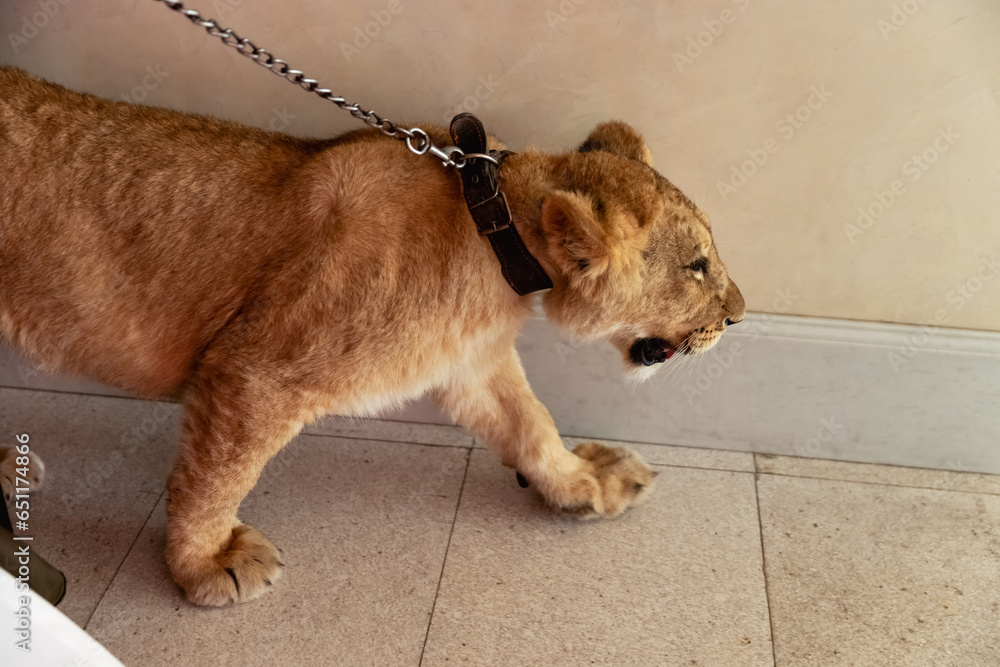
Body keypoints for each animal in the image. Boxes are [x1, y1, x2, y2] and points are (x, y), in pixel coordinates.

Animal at [0, 66, 744, 607]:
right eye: (696, 265)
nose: (739, 314)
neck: (495, 220)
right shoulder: (254, 371)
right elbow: (217, 477)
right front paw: (206, 562)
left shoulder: (468, 362)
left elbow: (530, 422)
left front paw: (582, 481)